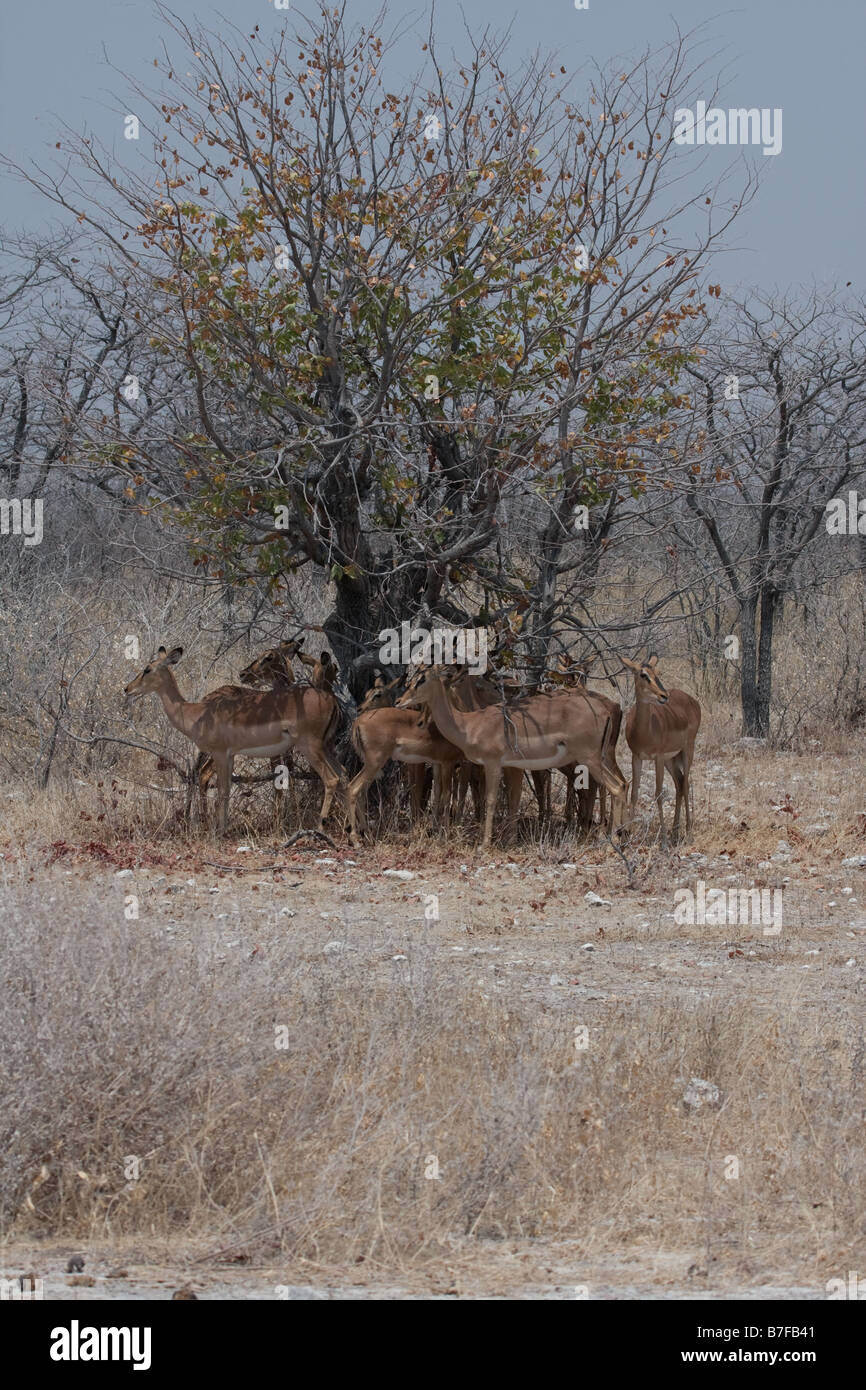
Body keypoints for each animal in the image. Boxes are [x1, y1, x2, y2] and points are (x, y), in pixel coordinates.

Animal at [124, 646, 345, 836]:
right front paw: (222, 828)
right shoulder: (230, 756)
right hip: (326, 747)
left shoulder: (221, 754)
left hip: (310, 747)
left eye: (147, 669)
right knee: (344, 774)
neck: (195, 713)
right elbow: (227, 790)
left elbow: (222, 791)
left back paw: (319, 828)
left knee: (331, 778)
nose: (127, 689)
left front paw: (218, 832)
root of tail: (330, 699)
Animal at [396, 665, 627, 848]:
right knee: (622, 784)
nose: (399, 700)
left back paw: (613, 842)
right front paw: (507, 840)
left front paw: (485, 844)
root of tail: (607, 710)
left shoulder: (492, 764)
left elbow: (490, 800)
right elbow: (511, 799)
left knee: (616, 787)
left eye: (422, 679)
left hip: (589, 758)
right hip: (601, 757)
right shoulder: (512, 766)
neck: (470, 725)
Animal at [622, 653, 701, 846]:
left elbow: (658, 794)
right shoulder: (637, 756)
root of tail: (693, 700)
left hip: (687, 750)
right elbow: (634, 793)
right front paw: (629, 837)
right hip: (670, 759)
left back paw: (687, 833)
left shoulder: (657, 757)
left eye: (657, 672)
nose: (664, 695)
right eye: (643, 674)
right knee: (679, 782)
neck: (645, 731)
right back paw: (675, 832)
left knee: (686, 784)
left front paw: (663, 840)